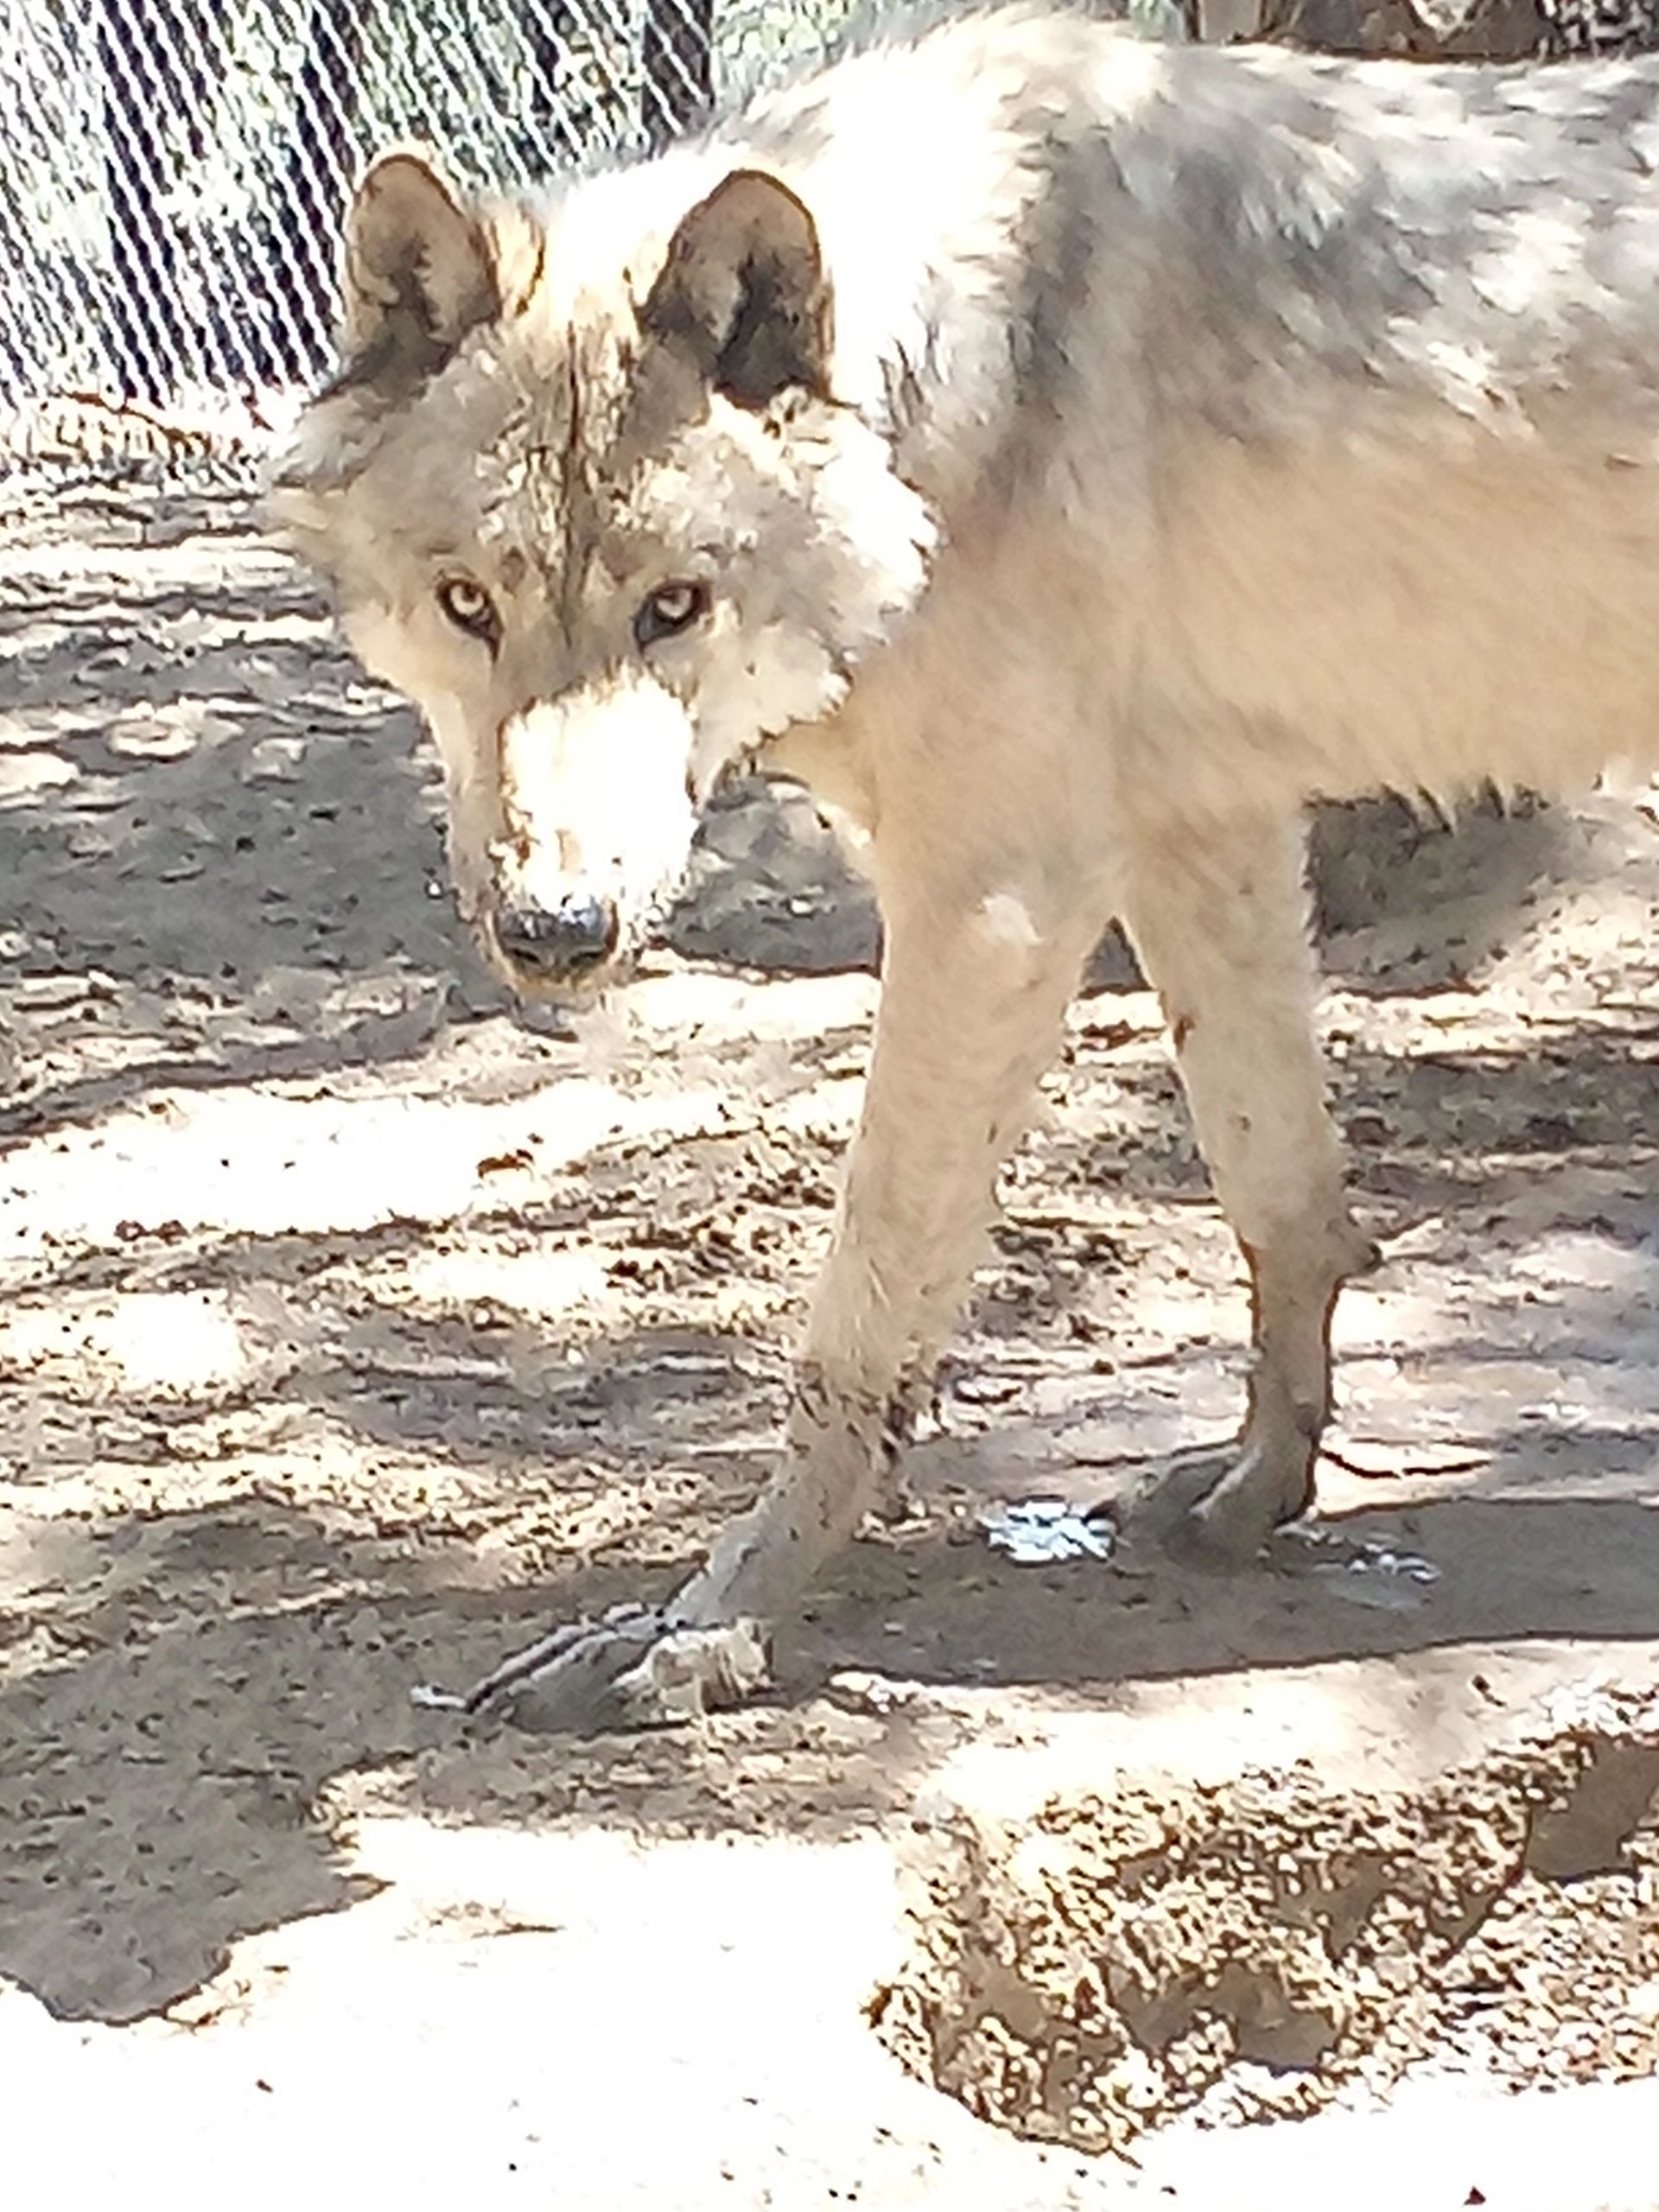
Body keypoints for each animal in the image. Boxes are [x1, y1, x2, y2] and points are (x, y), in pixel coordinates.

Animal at [274, 0, 1659, 1727]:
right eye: (471, 603)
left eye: (674, 606)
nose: (557, 928)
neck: (941, 413)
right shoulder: (1197, 836)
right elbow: (1281, 1194)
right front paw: (1258, 1492)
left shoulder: (991, 901)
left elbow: (855, 1332)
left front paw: (702, 1630)